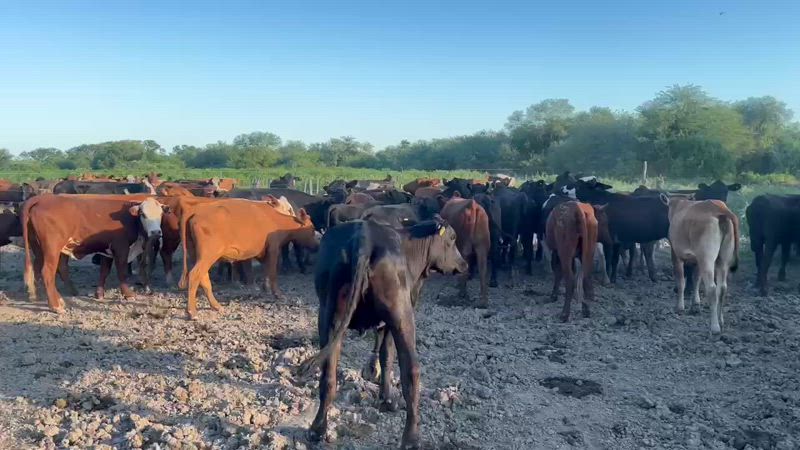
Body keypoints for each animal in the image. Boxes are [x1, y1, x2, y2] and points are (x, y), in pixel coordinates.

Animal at [22, 195, 168, 313]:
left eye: (160, 214)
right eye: (143, 214)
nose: (156, 232)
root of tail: (42, 199)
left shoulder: (107, 251)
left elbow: (104, 271)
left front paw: (99, 294)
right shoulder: (121, 248)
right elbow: (122, 271)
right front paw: (128, 294)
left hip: (40, 249)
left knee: (40, 269)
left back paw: (48, 298)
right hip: (52, 248)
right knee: (47, 272)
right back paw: (55, 305)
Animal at [181, 200, 318, 319]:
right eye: (311, 229)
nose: (317, 246)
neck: (276, 220)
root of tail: (196, 211)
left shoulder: (262, 252)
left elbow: (266, 271)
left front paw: (265, 288)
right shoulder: (273, 249)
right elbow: (273, 273)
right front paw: (277, 294)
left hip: (197, 255)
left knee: (204, 279)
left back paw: (216, 306)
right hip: (208, 255)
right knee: (194, 275)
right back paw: (192, 312)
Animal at [298, 218, 467, 449]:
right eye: (452, 238)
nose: (464, 264)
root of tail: (364, 235)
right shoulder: (393, 320)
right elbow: (387, 356)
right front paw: (386, 398)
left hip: (328, 314)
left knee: (328, 373)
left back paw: (317, 429)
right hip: (402, 315)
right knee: (411, 370)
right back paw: (411, 438)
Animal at [666, 195, 739, 333]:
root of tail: (720, 210)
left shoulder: (676, 255)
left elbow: (681, 282)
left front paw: (680, 307)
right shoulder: (697, 260)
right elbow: (696, 280)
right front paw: (695, 305)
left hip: (707, 258)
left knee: (712, 288)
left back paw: (714, 326)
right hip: (722, 259)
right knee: (722, 287)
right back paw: (720, 320)